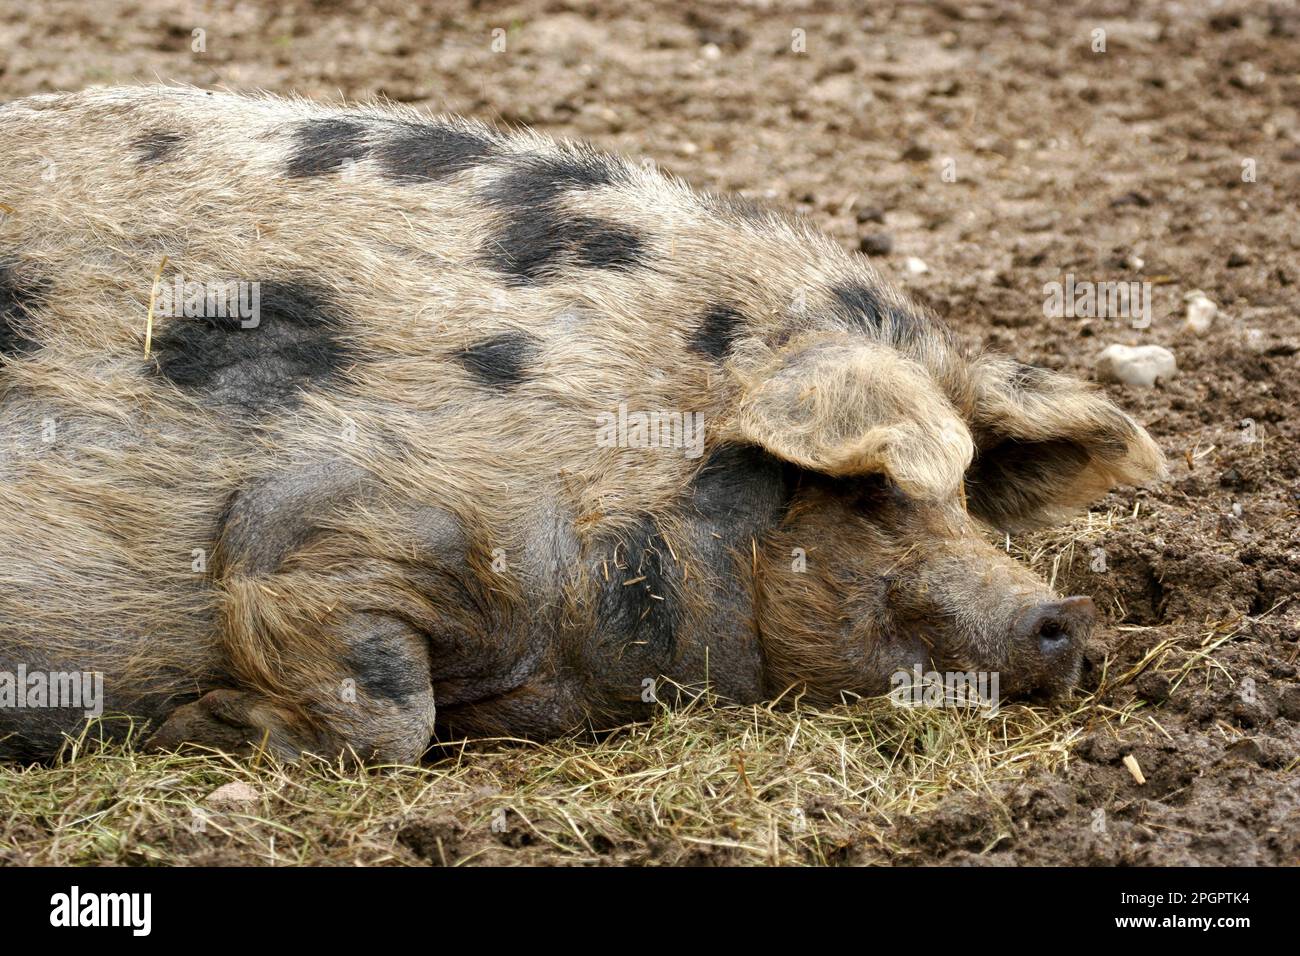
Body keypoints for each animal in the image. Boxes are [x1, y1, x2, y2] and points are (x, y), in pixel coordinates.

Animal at [0, 86, 1165, 763]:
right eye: (871, 487)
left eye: (968, 493)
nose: (1065, 615)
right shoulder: (325, 522)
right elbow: (388, 711)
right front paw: (195, 725)